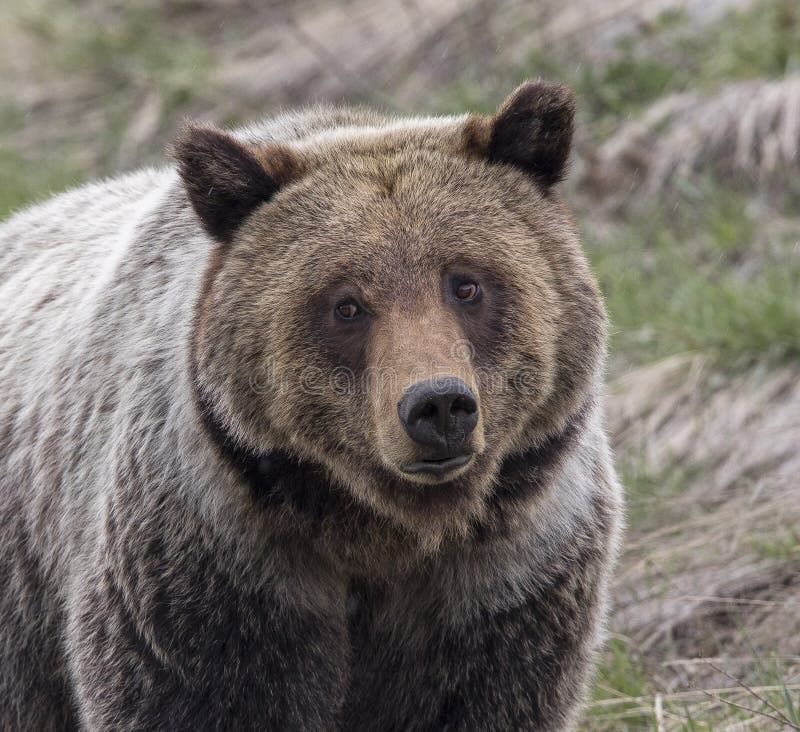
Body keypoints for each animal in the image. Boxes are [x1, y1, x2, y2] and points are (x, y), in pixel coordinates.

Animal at [0, 80, 623, 731]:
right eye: (346, 304)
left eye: (467, 283)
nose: (439, 406)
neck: (378, 530)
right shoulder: (212, 573)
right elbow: (195, 696)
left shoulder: (507, 583)